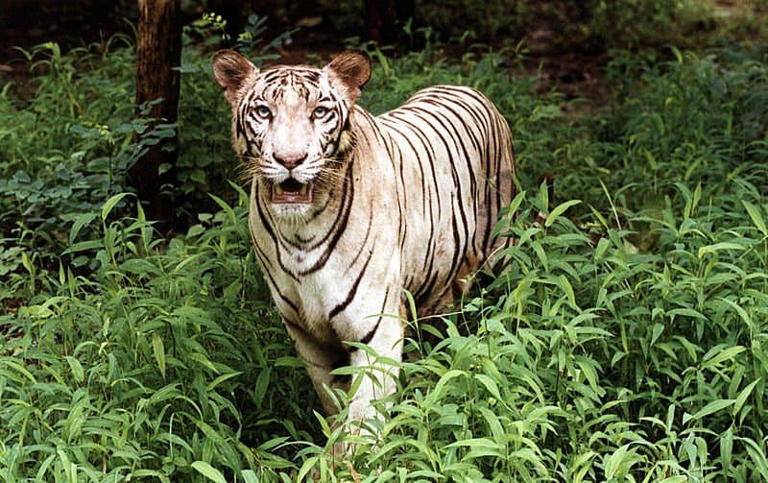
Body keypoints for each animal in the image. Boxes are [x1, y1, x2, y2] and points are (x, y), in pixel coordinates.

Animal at [212, 49, 515, 444]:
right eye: (264, 111)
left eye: (319, 112)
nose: (290, 160)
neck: (300, 231)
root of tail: (467, 87)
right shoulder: (306, 333)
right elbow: (333, 401)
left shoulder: (376, 326)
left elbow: (363, 416)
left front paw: (354, 456)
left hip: (502, 258)